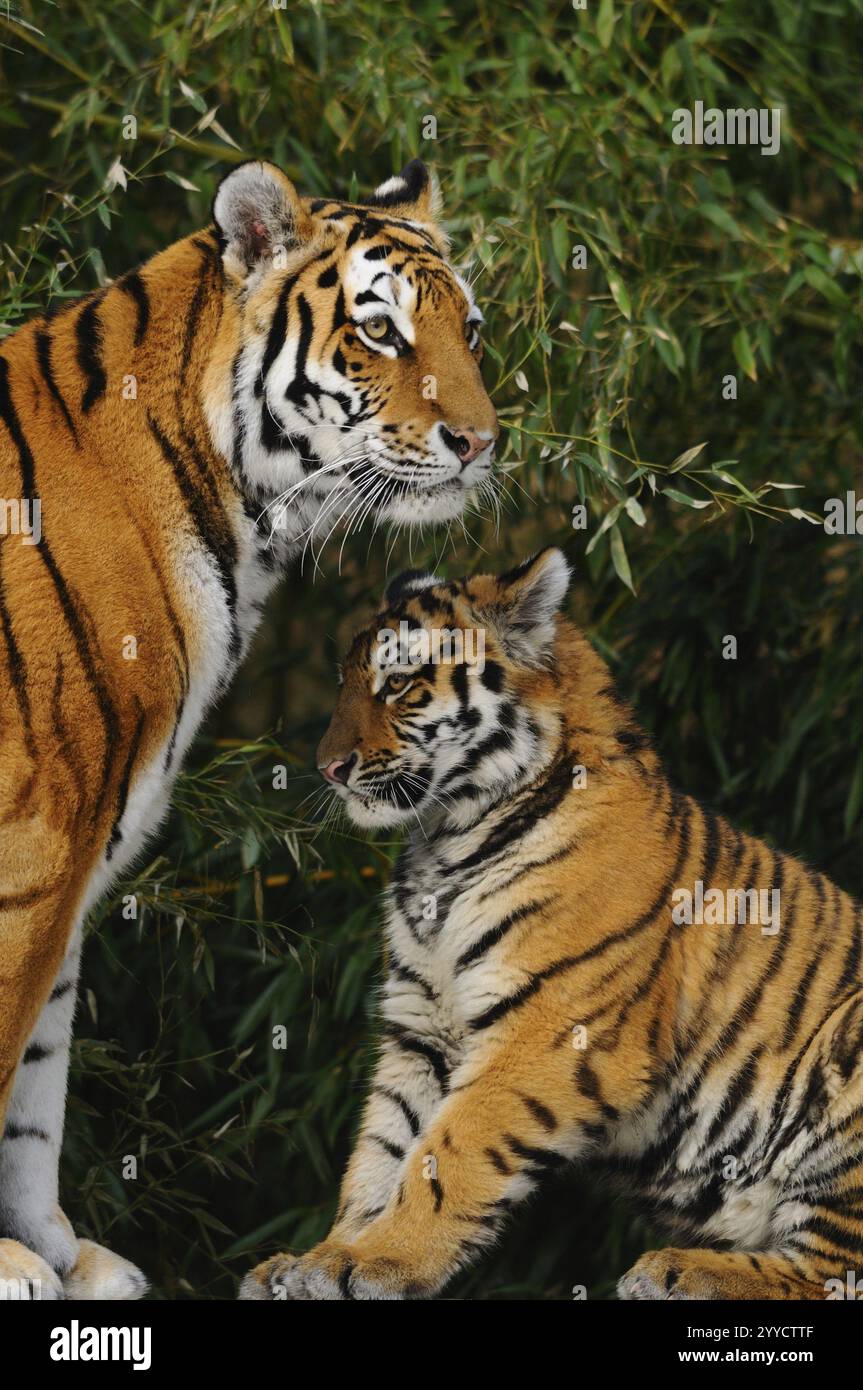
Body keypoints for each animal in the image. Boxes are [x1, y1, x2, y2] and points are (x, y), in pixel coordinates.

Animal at [0, 155, 497, 1298]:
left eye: (467, 330)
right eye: (381, 331)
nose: (480, 443)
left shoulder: (75, 858)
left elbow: (37, 1087)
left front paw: (54, 1252)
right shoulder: (35, 846)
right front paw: (8, 1261)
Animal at [241, 548, 863, 1301]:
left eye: (399, 684)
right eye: (344, 684)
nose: (328, 768)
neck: (442, 845)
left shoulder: (548, 1028)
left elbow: (450, 1153)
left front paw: (380, 1260)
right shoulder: (422, 1032)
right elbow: (383, 1153)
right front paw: (324, 1257)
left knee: (831, 1271)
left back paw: (680, 1271)